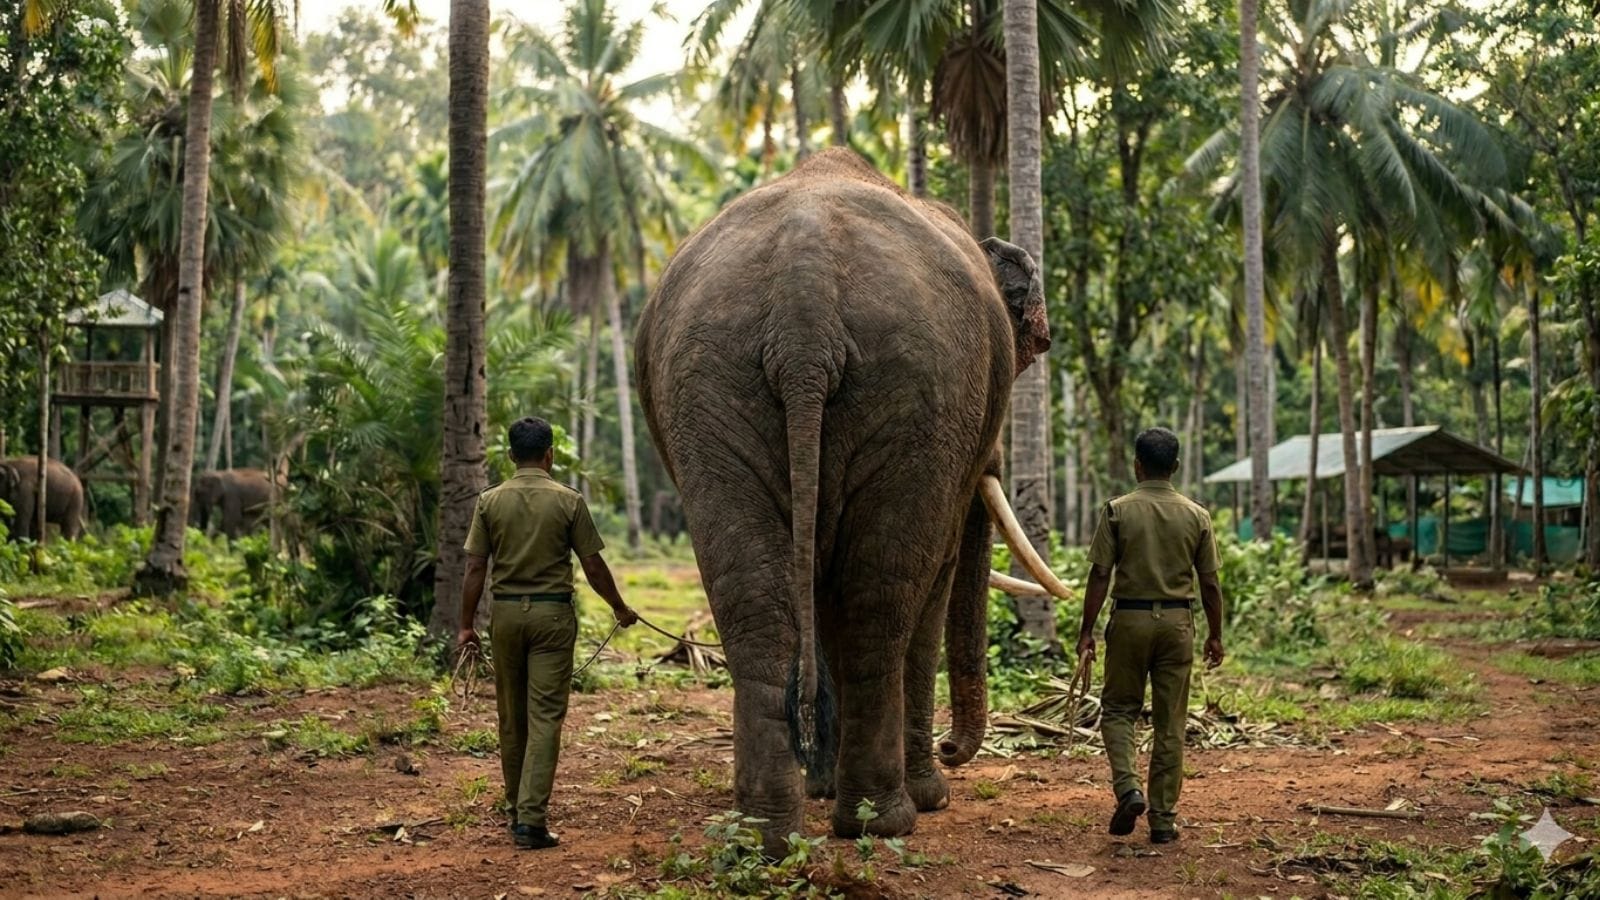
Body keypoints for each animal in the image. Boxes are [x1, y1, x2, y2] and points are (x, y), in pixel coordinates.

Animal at [635, 149, 1073, 851]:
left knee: (753, 598)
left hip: (706, 385)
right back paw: (886, 816)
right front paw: (928, 794)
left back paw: (767, 833)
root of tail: (802, 309)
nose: (954, 750)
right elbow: (937, 571)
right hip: (919, 395)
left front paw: (821, 785)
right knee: (883, 594)